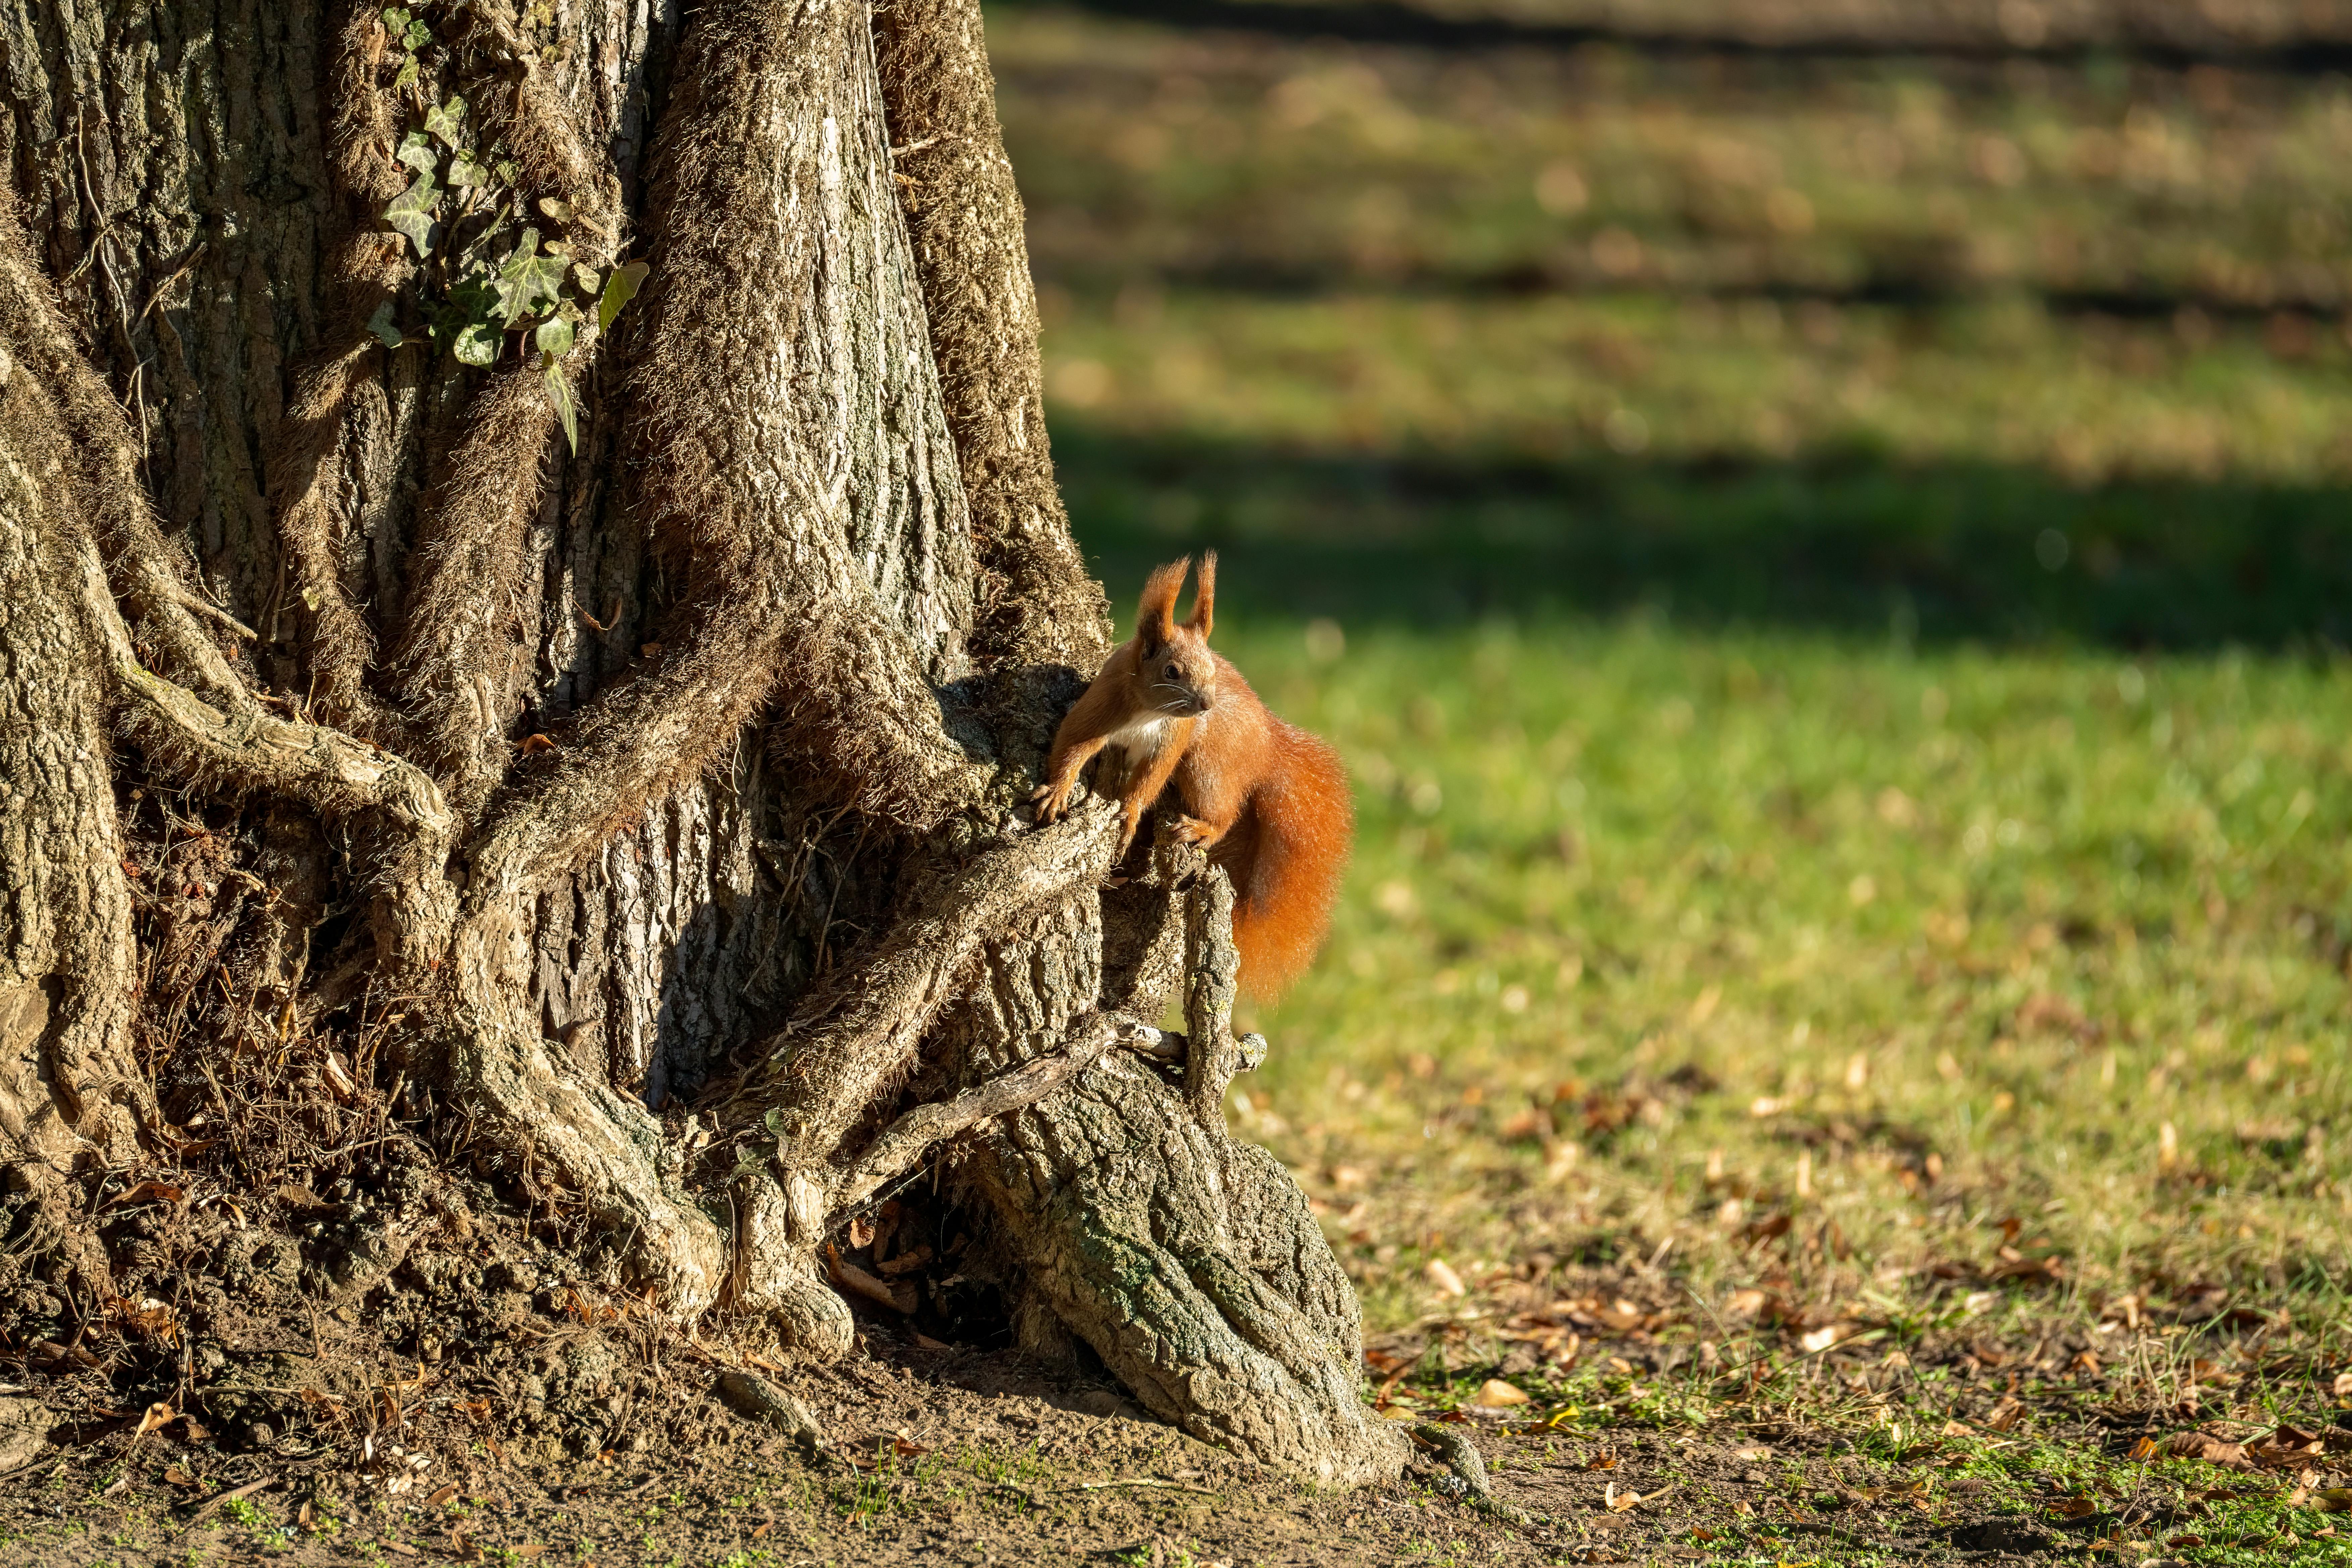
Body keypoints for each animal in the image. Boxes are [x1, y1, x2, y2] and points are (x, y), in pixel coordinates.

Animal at [1031, 552, 1353, 1000]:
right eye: (1171, 671)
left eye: (1212, 668)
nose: (1206, 704)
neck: (1148, 712)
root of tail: (1268, 745)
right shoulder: (1104, 706)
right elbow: (1074, 743)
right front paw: (1057, 791)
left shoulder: (1173, 740)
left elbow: (1152, 777)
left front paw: (1130, 815)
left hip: (1206, 767)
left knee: (1225, 812)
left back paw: (1202, 828)